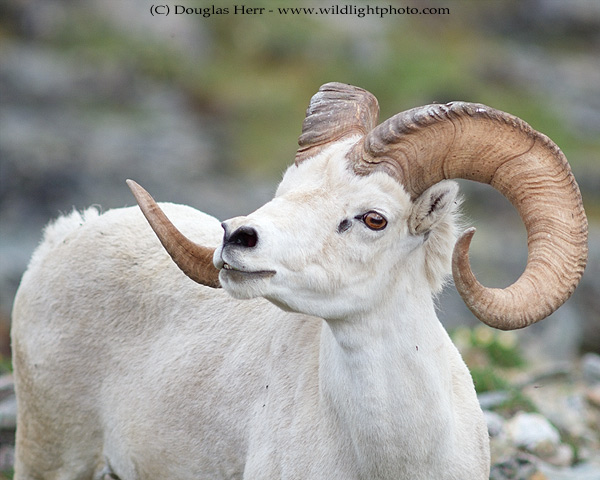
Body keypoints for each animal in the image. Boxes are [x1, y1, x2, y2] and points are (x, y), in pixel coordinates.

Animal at [11, 83, 588, 480]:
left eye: (373, 219)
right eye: (286, 190)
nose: (236, 238)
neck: (392, 457)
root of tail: (66, 233)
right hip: (51, 456)